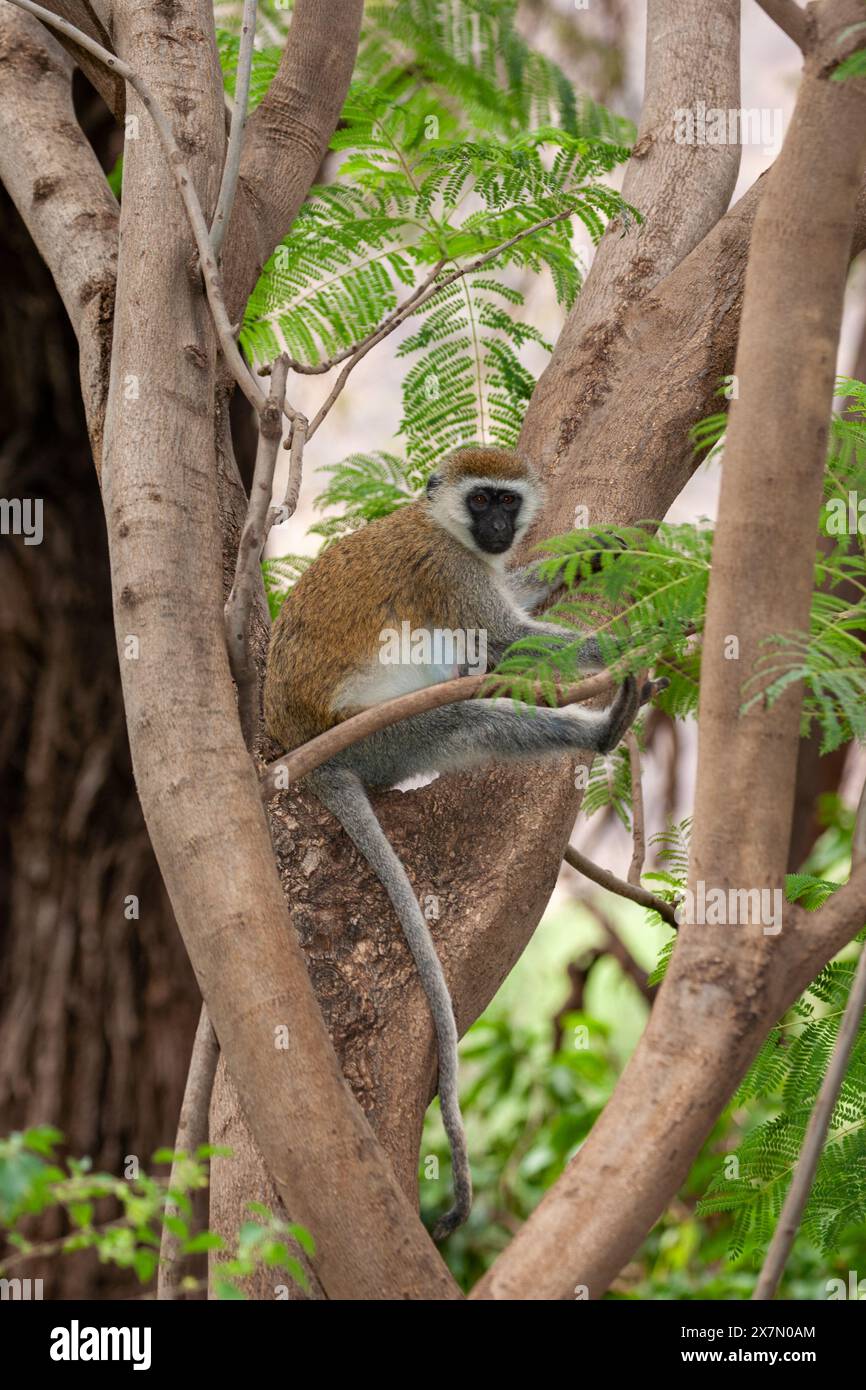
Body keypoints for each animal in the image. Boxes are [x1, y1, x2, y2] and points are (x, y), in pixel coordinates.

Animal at [264, 445, 664, 1241]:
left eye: (506, 501)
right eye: (481, 500)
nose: (500, 527)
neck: (442, 527)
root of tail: (307, 758)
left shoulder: (480, 567)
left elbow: (514, 595)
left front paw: (597, 550)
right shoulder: (448, 571)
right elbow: (508, 636)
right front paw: (654, 625)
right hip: (387, 737)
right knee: (467, 711)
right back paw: (599, 732)